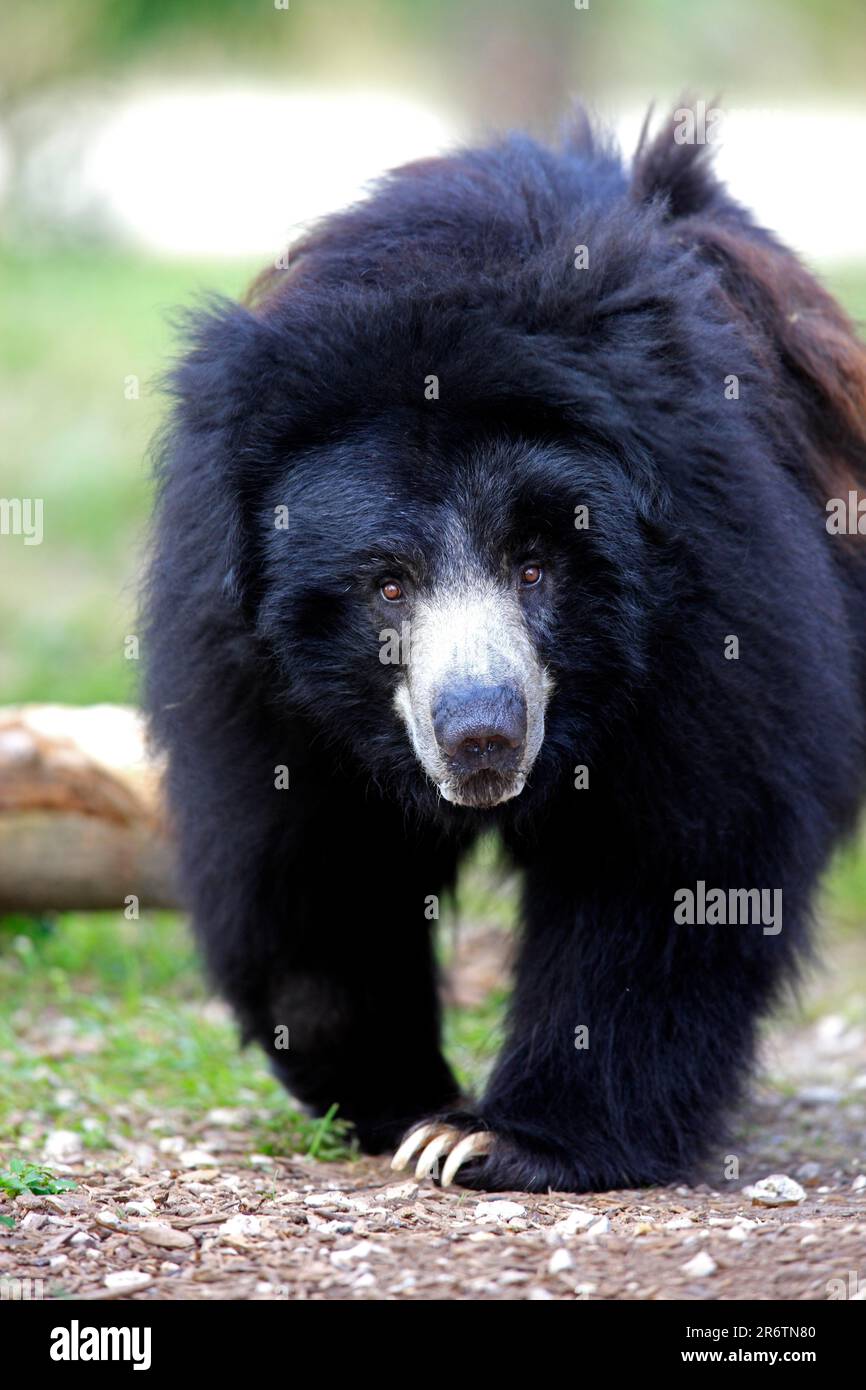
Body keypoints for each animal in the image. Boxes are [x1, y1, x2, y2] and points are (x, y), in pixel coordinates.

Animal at [143, 108, 866, 1193]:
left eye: (535, 567)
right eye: (386, 583)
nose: (480, 734)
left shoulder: (711, 608)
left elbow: (670, 858)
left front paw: (494, 1140)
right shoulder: (248, 659)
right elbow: (310, 852)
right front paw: (396, 1098)